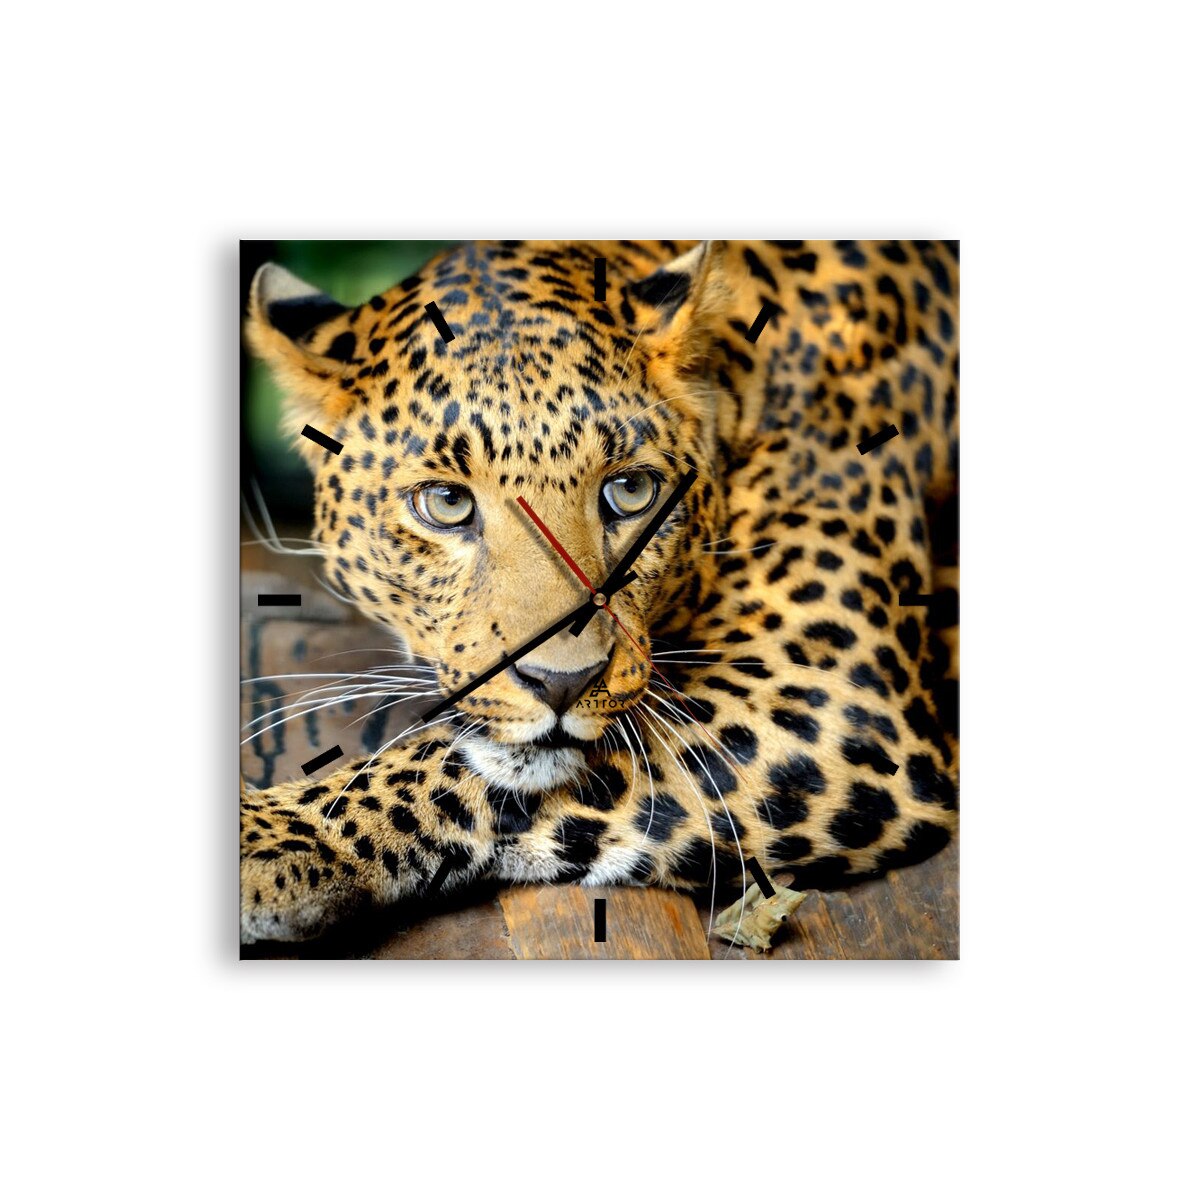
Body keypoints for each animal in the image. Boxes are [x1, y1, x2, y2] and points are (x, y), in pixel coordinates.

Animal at [240, 239, 959, 947]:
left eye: (630, 490)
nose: (561, 684)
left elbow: (449, 765)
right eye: (445, 503)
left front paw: (270, 837)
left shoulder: (830, 702)